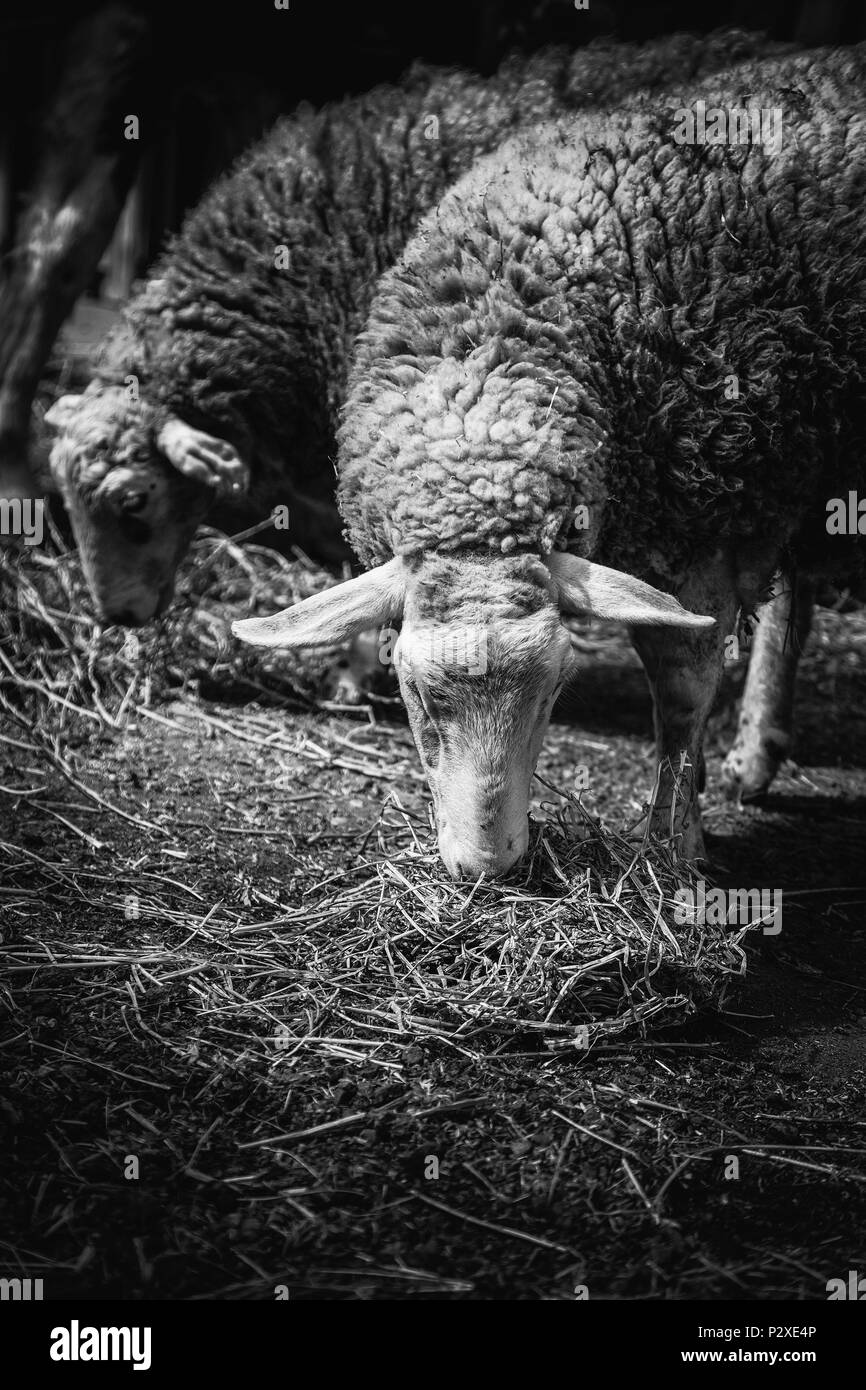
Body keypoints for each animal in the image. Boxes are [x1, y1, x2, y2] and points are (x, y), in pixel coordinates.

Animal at [234, 43, 866, 877]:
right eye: (415, 697)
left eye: (554, 691)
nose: (488, 866)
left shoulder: (708, 515)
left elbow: (682, 688)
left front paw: (671, 844)